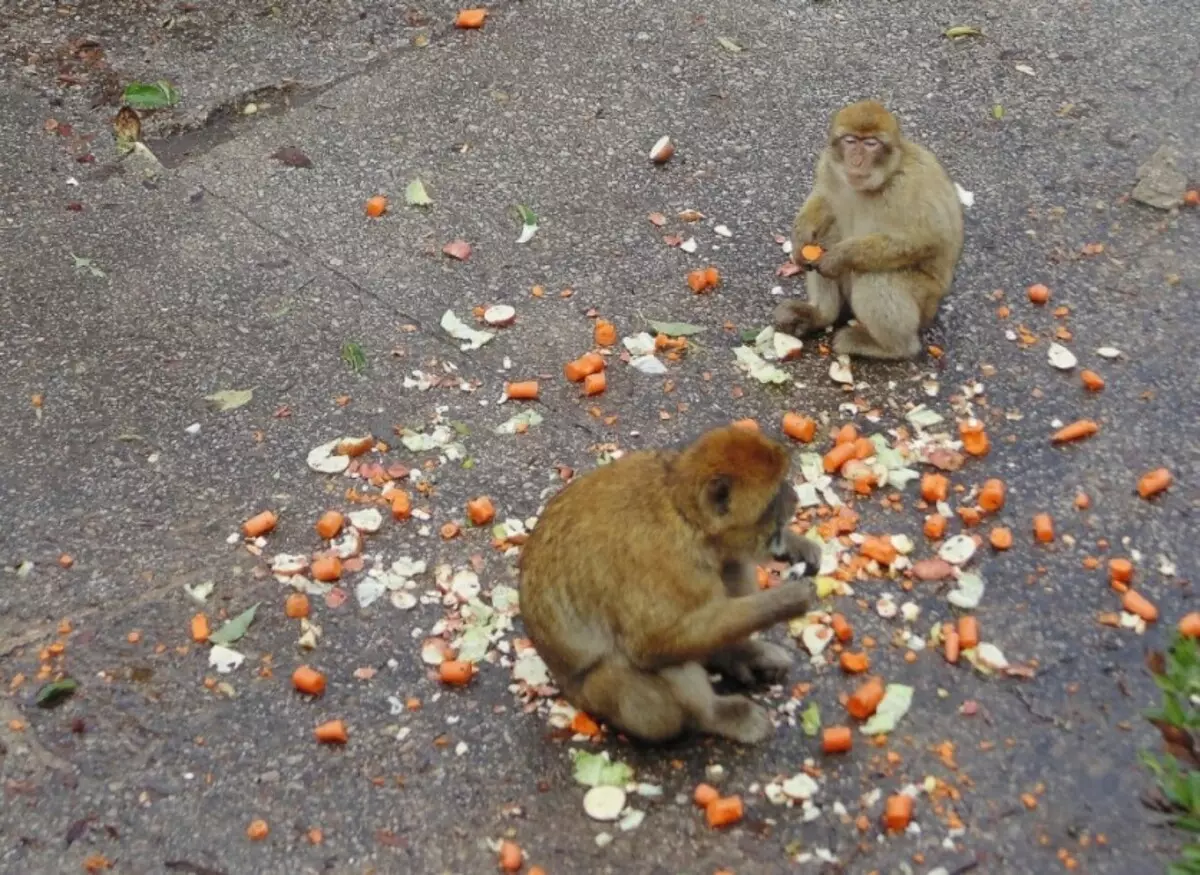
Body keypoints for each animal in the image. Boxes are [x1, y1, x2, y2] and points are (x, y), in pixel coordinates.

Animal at [518, 422, 825, 744]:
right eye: (774, 498)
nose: (794, 497)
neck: (684, 514)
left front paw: (795, 544)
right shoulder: (665, 563)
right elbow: (651, 643)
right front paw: (787, 601)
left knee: (732, 567)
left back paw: (737, 654)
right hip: (605, 698)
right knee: (646, 660)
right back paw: (717, 715)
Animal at [777, 100, 964, 360]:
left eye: (871, 144)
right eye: (851, 141)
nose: (856, 160)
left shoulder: (910, 185)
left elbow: (924, 240)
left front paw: (839, 256)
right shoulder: (827, 165)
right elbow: (824, 198)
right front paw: (800, 235)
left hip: (926, 300)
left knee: (877, 276)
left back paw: (889, 347)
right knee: (826, 236)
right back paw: (820, 316)